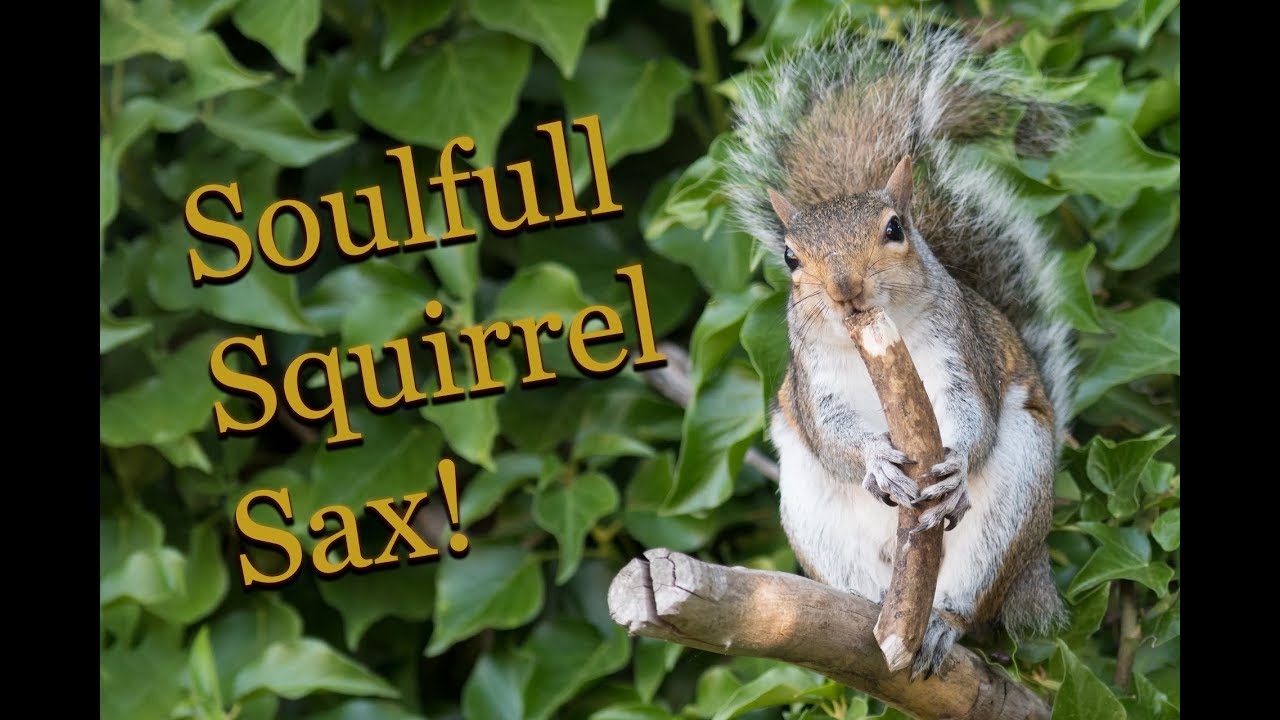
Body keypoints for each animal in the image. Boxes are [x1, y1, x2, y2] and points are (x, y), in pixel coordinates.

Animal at [723, 14, 1075, 679]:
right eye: (790, 257)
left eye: (894, 229)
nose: (846, 291)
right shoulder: (812, 385)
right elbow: (830, 437)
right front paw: (874, 459)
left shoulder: (964, 352)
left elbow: (975, 418)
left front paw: (955, 466)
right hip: (813, 521)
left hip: (1012, 513)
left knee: (969, 600)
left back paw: (940, 624)